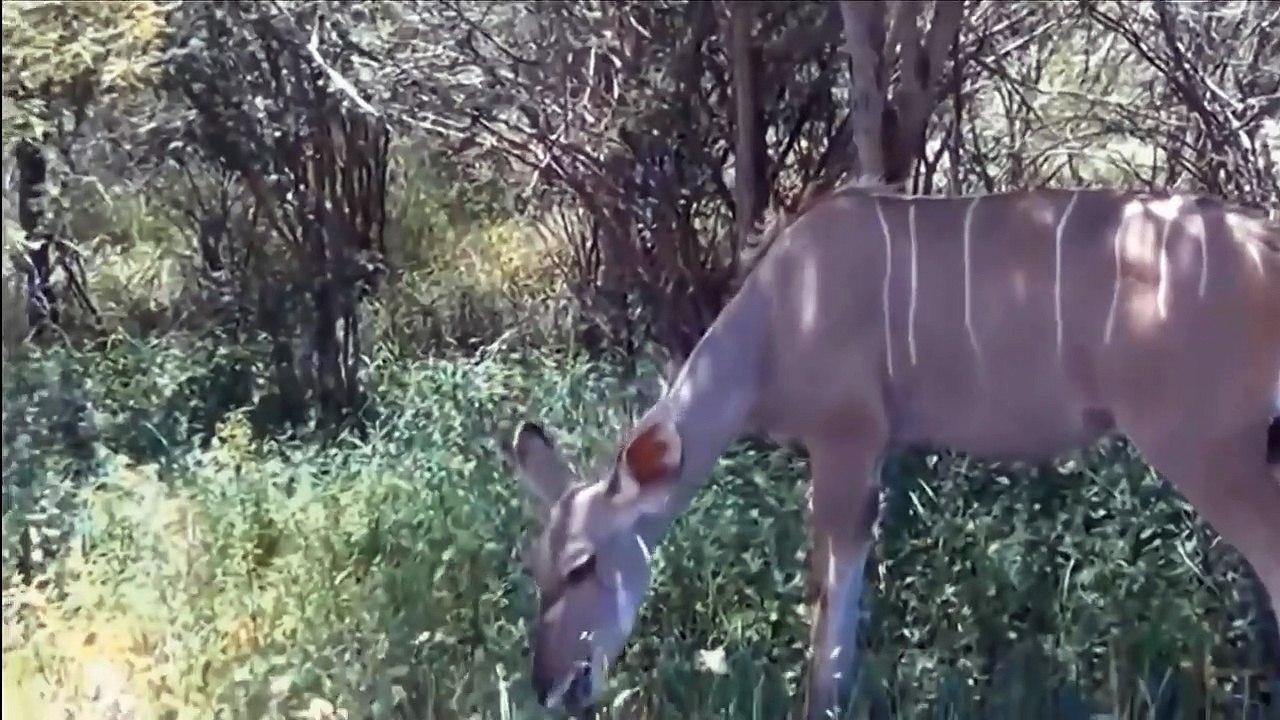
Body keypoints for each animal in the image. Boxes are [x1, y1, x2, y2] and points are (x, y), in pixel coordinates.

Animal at [499, 179, 1280, 719]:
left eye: (581, 566)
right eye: (535, 567)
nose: (552, 687)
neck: (778, 317)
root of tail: (1264, 245)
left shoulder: (847, 440)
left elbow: (832, 590)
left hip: (1207, 448)